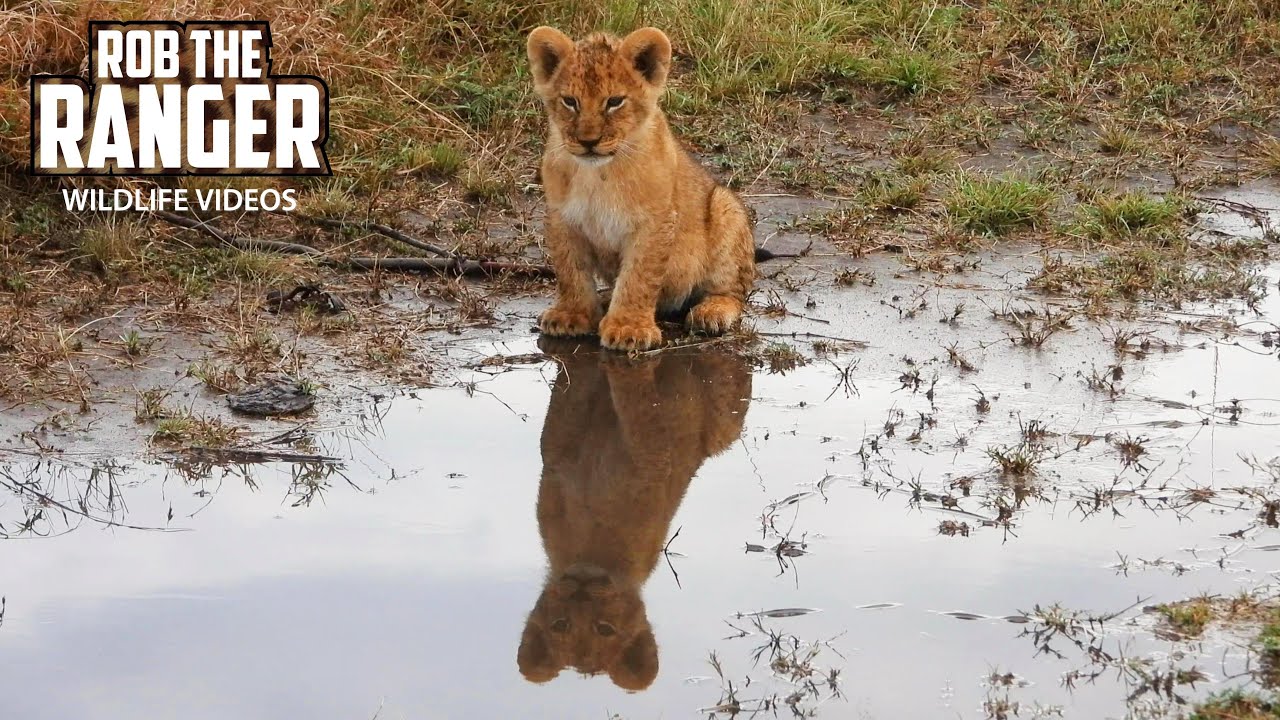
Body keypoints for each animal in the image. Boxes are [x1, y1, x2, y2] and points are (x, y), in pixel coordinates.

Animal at [517, 339, 753, 690]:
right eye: (560, 625)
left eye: (605, 629)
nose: (582, 590)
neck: (590, 545)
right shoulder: (557, 455)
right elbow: (568, 407)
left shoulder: (651, 455)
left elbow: (636, 410)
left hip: (724, 430)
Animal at [526, 26, 757, 351]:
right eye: (570, 101)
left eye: (614, 101)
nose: (588, 141)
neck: (599, 173)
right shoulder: (562, 218)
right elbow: (571, 271)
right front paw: (573, 315)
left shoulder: (654, 222)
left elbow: (639, 277)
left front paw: (628, 328)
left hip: (726, 208)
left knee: (734, 292)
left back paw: (711, 313)